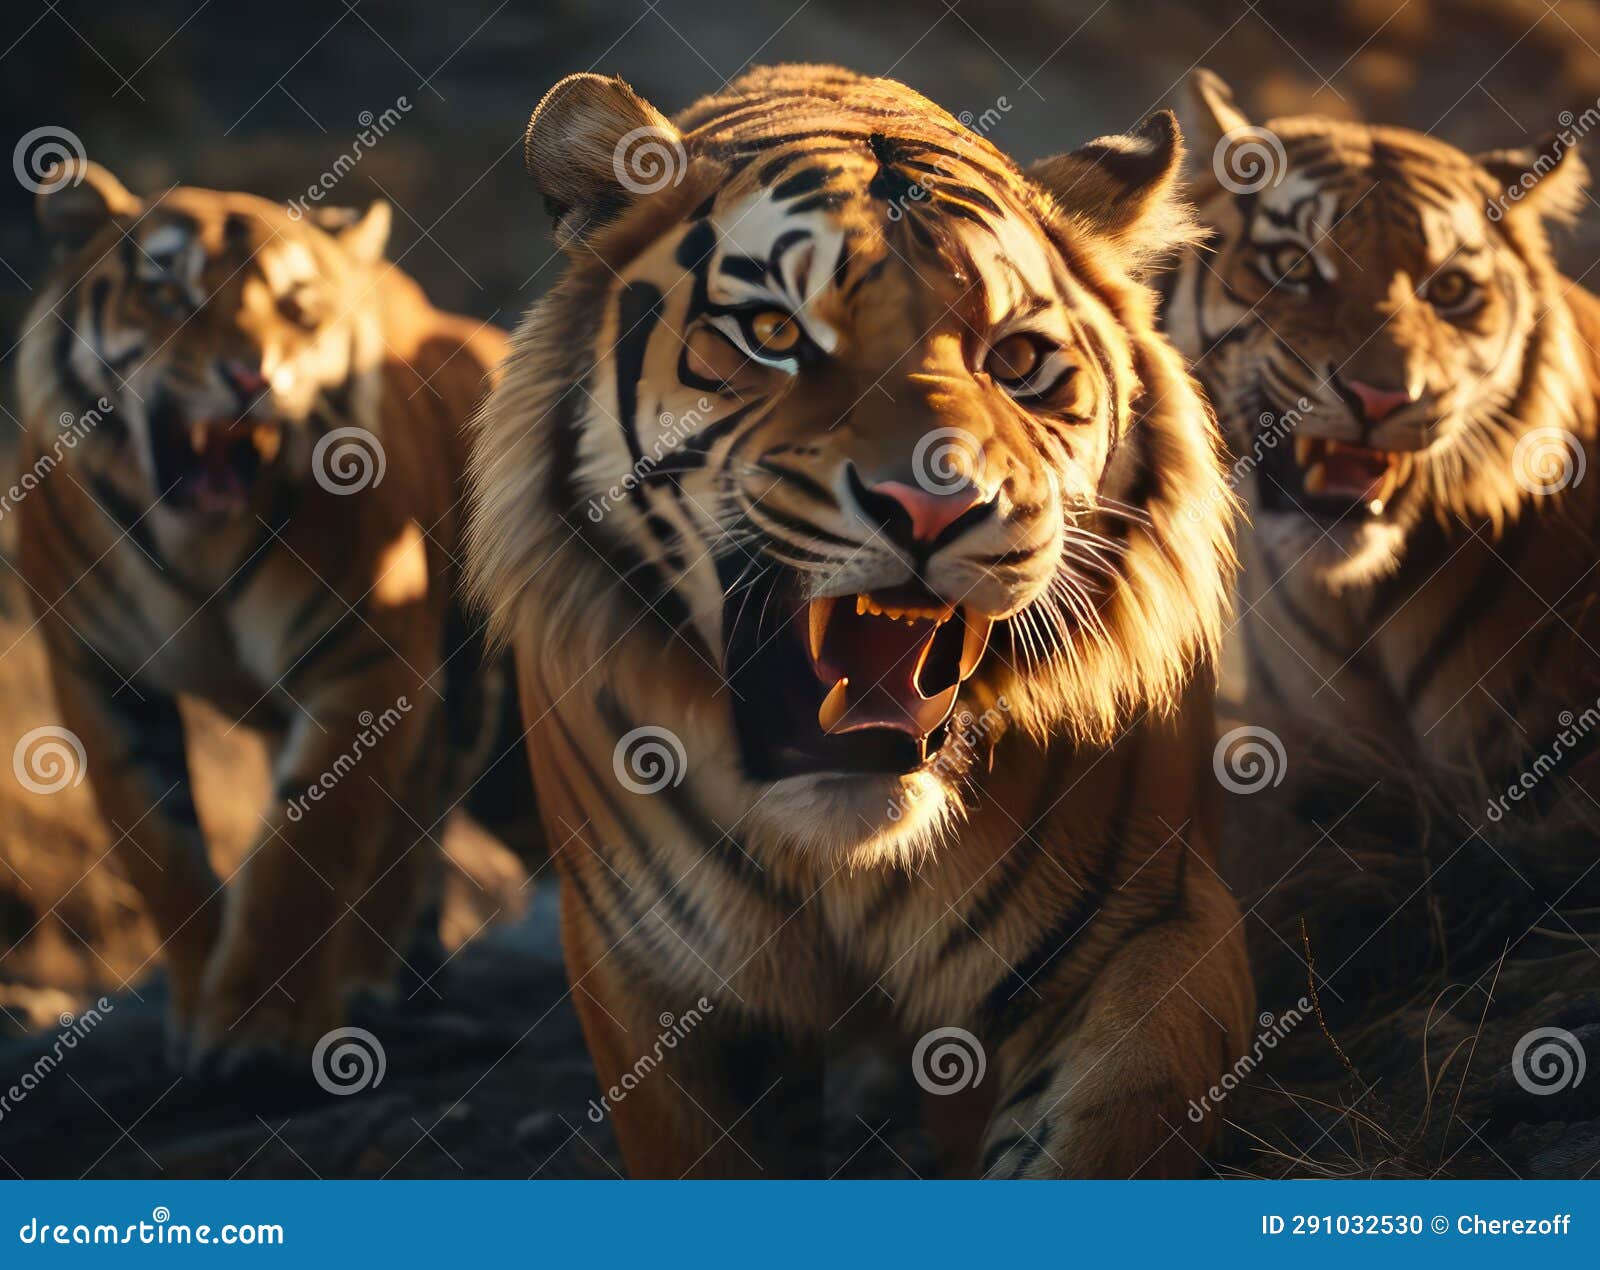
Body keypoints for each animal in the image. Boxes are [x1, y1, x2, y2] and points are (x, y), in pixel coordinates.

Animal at [13, 161, 509, 1070]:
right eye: (166, 290)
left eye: (297, 307)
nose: (253, 381)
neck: (200, 547)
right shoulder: (94, 672)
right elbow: (158, 848)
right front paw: (198, 1010)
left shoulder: (365, 661)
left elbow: (303, 852)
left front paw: (257, 1032)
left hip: (459, 691)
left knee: (410, 830)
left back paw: (372, 979)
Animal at [466, 64, 1253, 1178]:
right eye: (774, 334)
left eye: (1016, 357)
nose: (934, 501)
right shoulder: (651, 968)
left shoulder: (1155, 921)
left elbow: (1099, 1130)